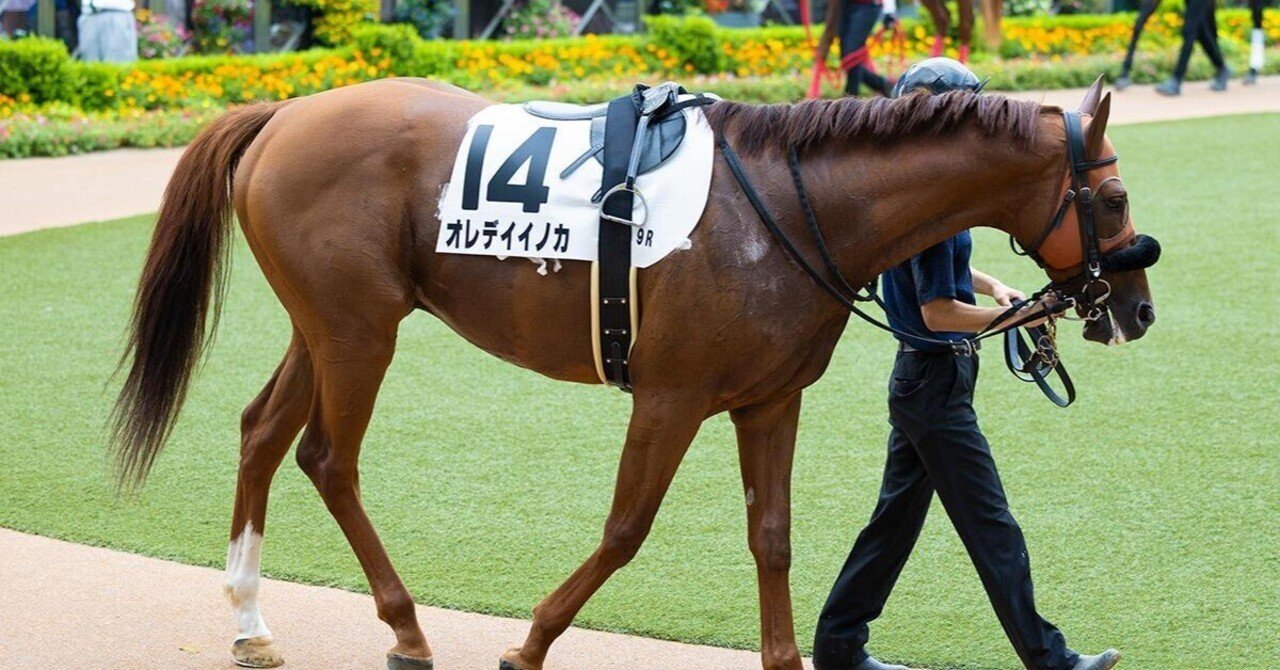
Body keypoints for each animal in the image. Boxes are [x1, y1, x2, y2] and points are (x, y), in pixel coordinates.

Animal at [111, 77, 1155, 670]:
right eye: (1111, 196)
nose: (1138, 309)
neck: (793, 204)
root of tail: (285, 113)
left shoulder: (769, 400)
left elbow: (773, 538)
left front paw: (787, 656)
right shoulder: (671, 395)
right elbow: (625, 530)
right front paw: (529, 641)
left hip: (327, 324)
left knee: (260, 429)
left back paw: (251, 622)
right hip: (359, 332)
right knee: (327, 457)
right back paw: (404, 627)